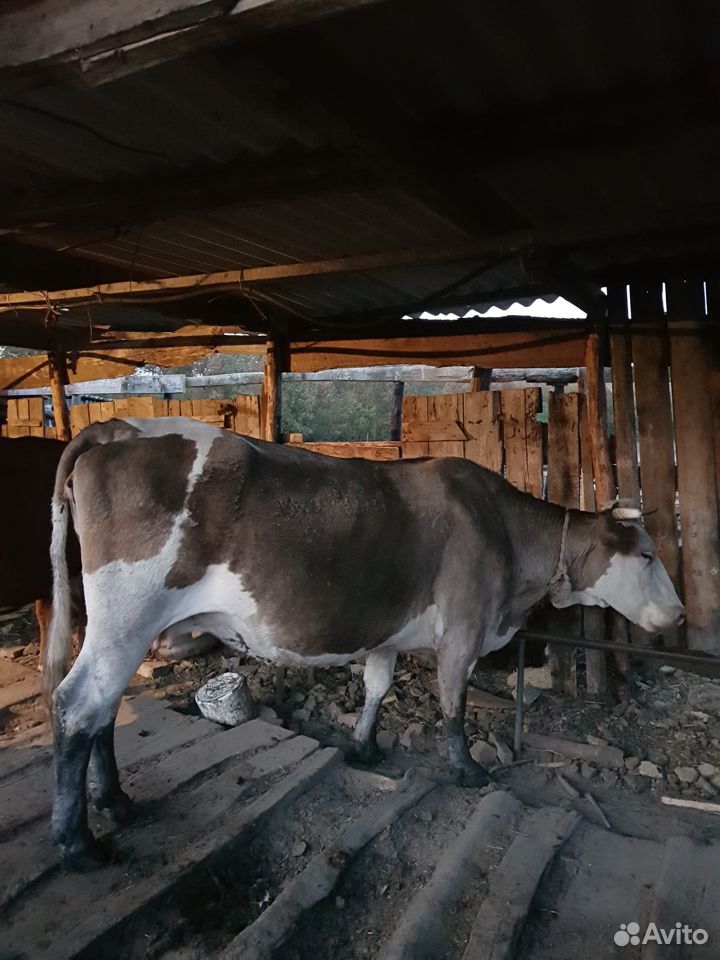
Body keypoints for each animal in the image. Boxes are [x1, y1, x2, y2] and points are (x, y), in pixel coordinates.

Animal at [44, 417, 684, 869]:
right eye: (648, 555)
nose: (679, 613)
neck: (504, 532)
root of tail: (122, 428)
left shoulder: (388, 634)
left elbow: (377, 685)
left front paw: (364, 746)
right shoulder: (464, 627)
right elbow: (453, 704)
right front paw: (466, 770)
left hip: (122, 628)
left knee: (103, 708)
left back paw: (115, 802)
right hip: (126, 616)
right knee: (78, 706)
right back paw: (77, 843)